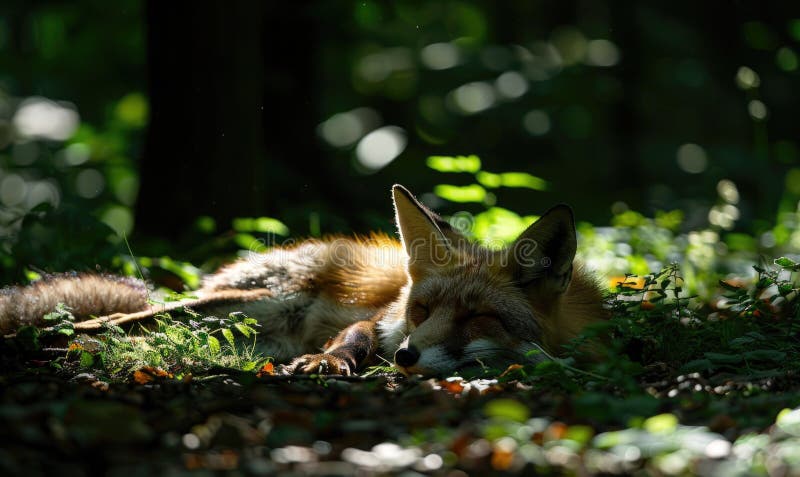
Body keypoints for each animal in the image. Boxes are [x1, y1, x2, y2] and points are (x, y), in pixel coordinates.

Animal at [0, 185, 606, 376]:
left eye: (478, 317)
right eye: (422, 311)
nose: (406, 356)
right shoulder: (381, 321)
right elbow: (353, 337)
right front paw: (328, 361)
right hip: (236, 305)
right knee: (107, 322)